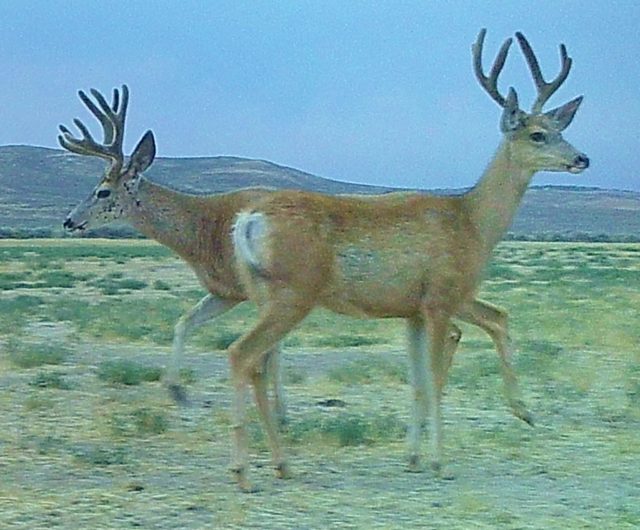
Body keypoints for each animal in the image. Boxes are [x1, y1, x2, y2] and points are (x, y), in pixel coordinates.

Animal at [225, 29, 589, 491]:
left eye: (561, 127)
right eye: (538, 134)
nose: (582, 158)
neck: (472, 221)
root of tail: (248, 220)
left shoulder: (414, 310)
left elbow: (421, 377)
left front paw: (416, 455)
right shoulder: (441, 298)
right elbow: (434, 377)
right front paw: (439, 460)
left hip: (263, 293)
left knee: (257, 363)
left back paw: (281, 464)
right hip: (294, 293)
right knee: (241, 354)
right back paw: (244, 472)